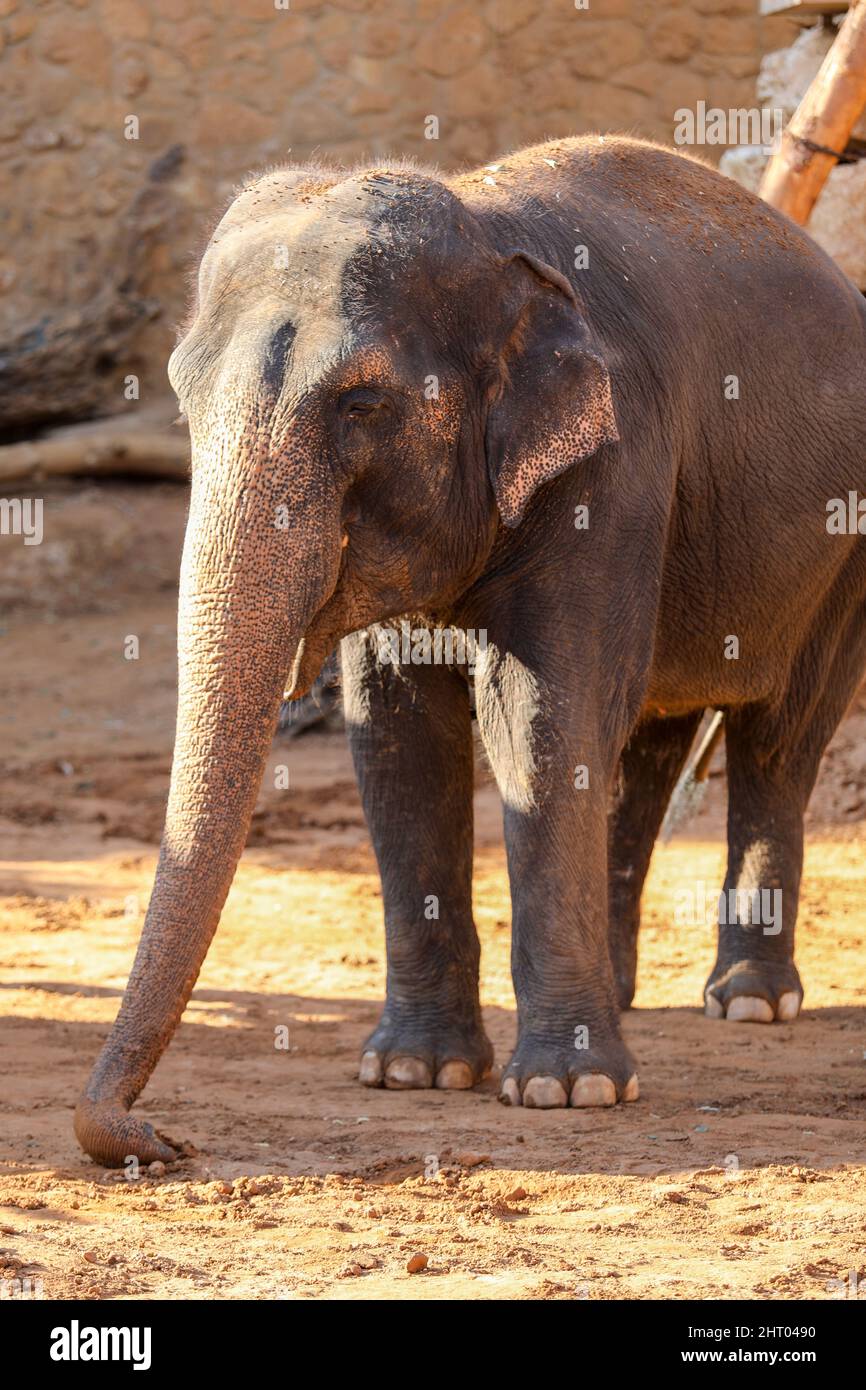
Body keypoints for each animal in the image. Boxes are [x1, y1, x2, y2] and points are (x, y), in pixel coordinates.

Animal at [74, 135, 866, 1166]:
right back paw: (621, 995)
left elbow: (540, 718)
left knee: (779, 737)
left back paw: (749, 1005)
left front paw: (569, 1092)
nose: (158, 1140)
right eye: (179, 393)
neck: (487, 230)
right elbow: (399, 735)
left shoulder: (612, 467)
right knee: (645, 743)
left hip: (844, 546)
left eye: (362, 402)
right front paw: (414, 1072)